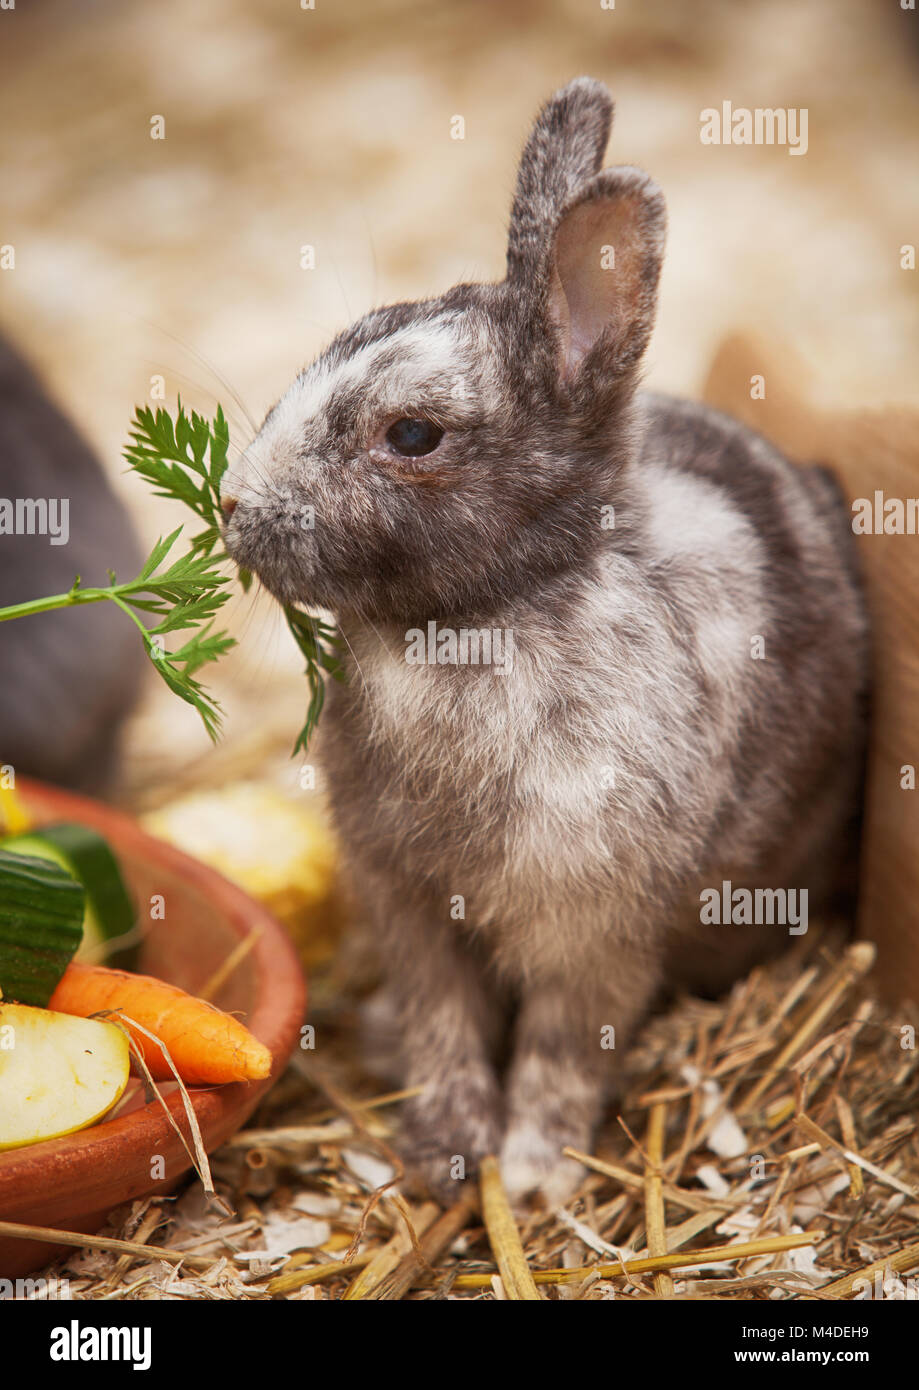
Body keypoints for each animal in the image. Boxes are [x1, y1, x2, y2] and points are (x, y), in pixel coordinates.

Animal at [222, 77, 868, 1205]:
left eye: (412, 435)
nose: (229, 507)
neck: (483, 618)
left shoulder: (594, 926)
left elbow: (562, 1047)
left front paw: (527, 1173)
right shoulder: (409, 910)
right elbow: (444, 1023)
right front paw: (444, 1144)